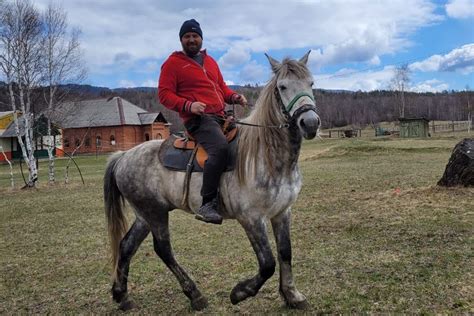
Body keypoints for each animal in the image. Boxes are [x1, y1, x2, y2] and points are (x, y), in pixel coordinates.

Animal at [103, 52, 318, 312]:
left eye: (311, 83)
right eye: (283, 87)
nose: (310, 123)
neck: (265, 155)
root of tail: (123, 156)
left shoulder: (282, 212)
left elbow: (285, 253)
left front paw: (292, 295)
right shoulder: (251, 218)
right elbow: (267, 263)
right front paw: (240, 293)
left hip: (145, 215)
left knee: (126, 246)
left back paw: (122, 296)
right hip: (154, 213)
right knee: (163, 250)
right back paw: (195, 295)